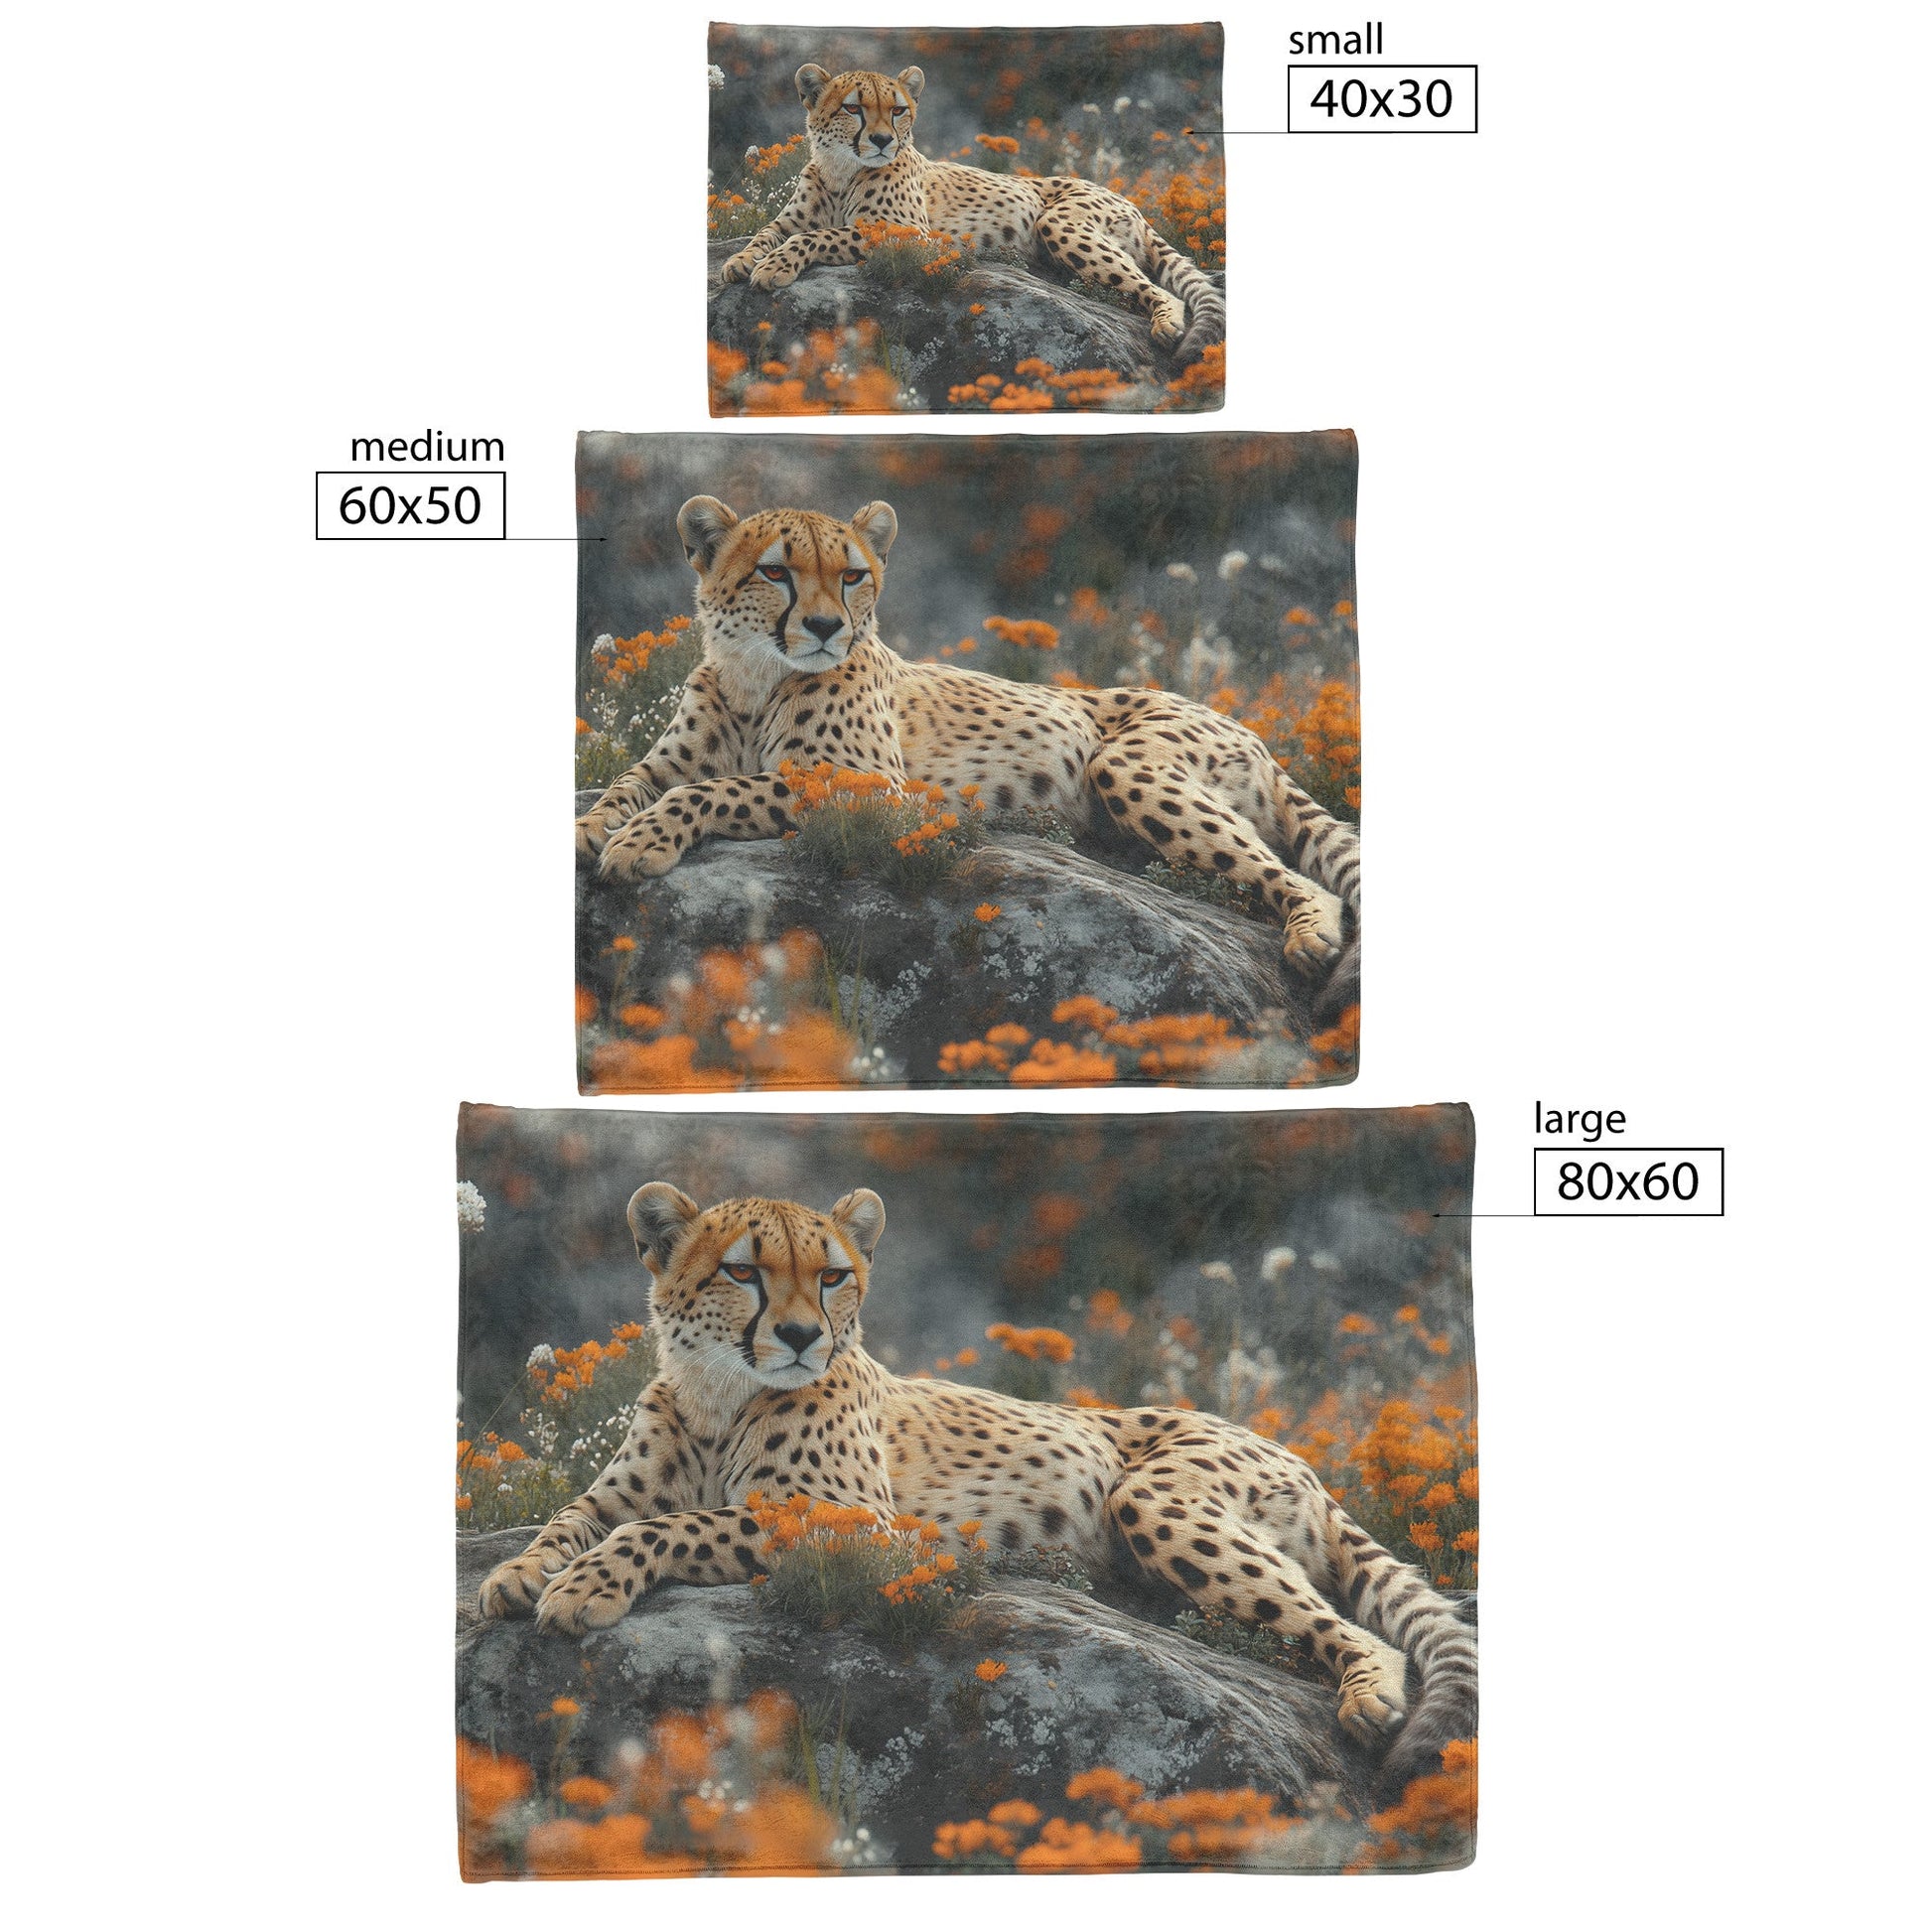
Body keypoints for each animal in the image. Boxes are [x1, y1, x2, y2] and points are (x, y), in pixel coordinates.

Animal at [477, 1186, 1477, 1787]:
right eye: (743, 1271)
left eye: (833, 1275)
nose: (800, 1336)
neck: (719, 1392)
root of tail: (1295, 1452)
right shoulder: (625, 1489)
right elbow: (575, 1514)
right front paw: (519, 1574)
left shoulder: (852, 1523)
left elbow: (670, 1527)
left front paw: (584, 1587)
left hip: (1156, 1500)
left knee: (1356, 1631)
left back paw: (1366, 1696)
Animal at [575, 497, 1361, 983]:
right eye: (775, 571)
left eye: (853, 576)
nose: (826, 628)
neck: (754, 677)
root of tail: (1250, 727)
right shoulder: (667, 762)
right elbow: (630, 784)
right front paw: (594, 828)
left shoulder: (873, 790)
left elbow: (716, 788)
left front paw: (641, 842)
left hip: (1126, 764)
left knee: (1306, 880)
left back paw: (1308, 932)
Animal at [718, 63, 1226, 363]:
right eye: (853, 108)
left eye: (898, 110)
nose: (882, 141)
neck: (842, 169)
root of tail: (1130, 201)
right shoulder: (792, 217)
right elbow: (769, 231)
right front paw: (741, 260)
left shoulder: (908, 234)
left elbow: (819, 236)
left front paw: (774, 267)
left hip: (1059, 222)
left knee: (1163, 291)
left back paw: (1165, 323)